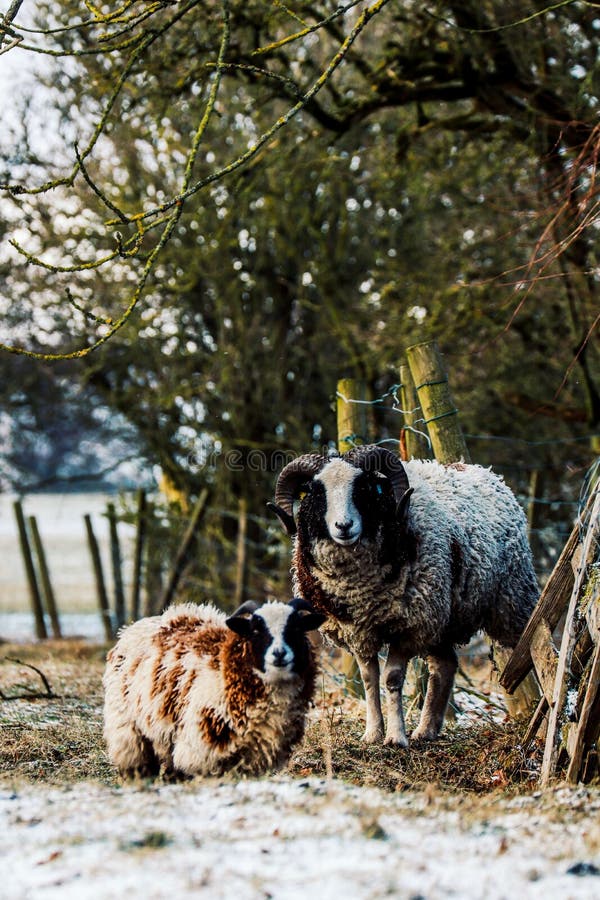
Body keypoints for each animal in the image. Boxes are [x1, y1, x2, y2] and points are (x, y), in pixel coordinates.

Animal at [103, 598, 325, 778]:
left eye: (297, 629)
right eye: (255, 630)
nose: (279, 654)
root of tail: (130, 628)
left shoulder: (253, 756)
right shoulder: (201, 750)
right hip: (128, 731)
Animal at [268, 445, 539, 747]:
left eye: (362, 488)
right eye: (316, 493)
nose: (343, 526)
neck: (359, 590)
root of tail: (491, 475)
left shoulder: (407, 627)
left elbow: (392, 679)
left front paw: (396, 737)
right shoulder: (358, 632)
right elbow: (369, 679)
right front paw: (373, 734)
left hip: (511, 598)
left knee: (531, 646)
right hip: (440, 620)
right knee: (445, 665)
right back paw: (427, 730)